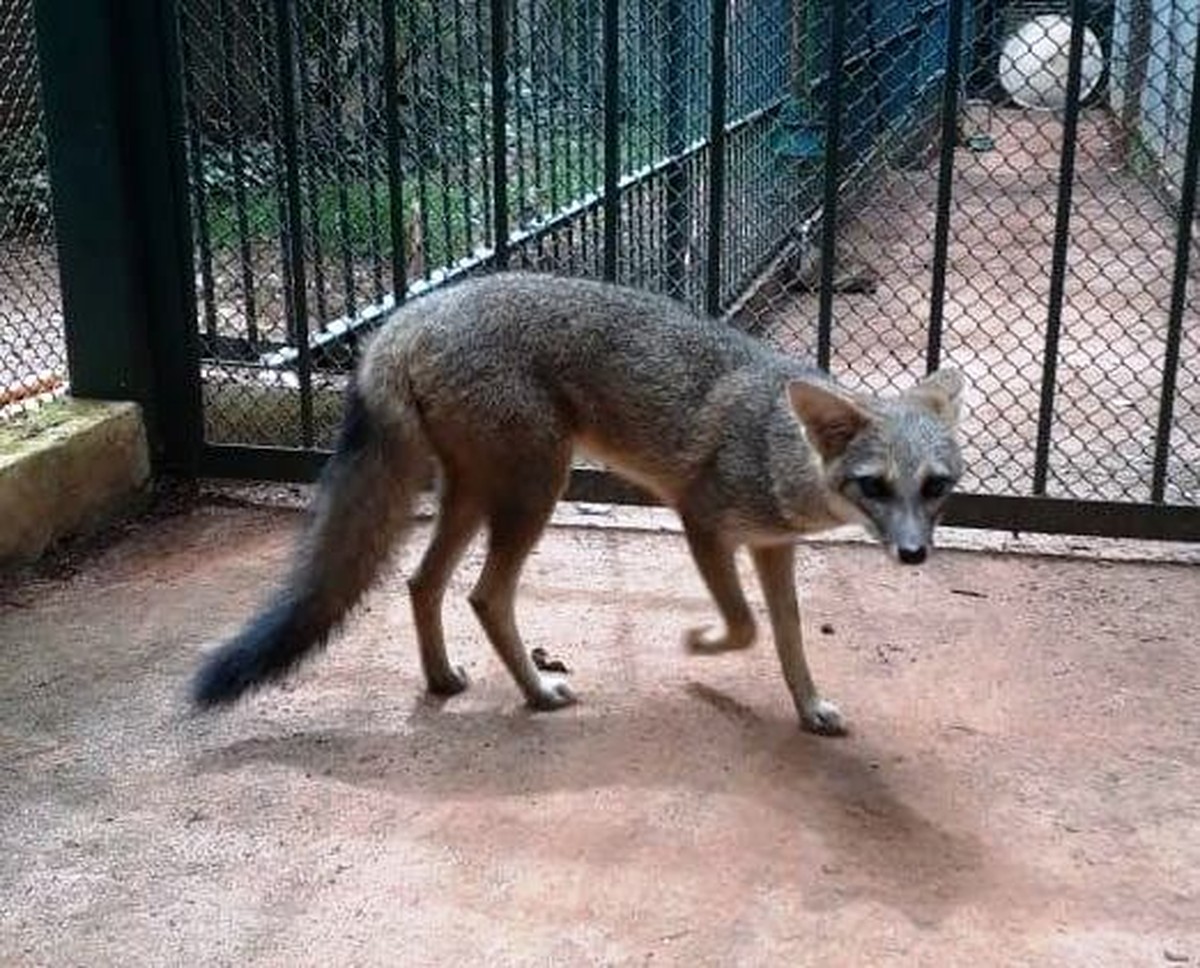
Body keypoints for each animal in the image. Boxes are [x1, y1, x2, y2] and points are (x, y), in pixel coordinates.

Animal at [191, 271, 965, 735]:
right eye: (874, 485)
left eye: (936, 488)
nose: (913, 554)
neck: (777, 447)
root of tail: (413, 315)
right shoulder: (701, 522)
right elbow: (744, 627)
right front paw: (701, 644)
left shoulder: (774, 548)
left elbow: (788, 638)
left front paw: (809, 707)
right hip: (537, 490)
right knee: (483, 595)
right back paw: (537, 692)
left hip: (474, 498)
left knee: (422, 581)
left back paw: (442, 679)